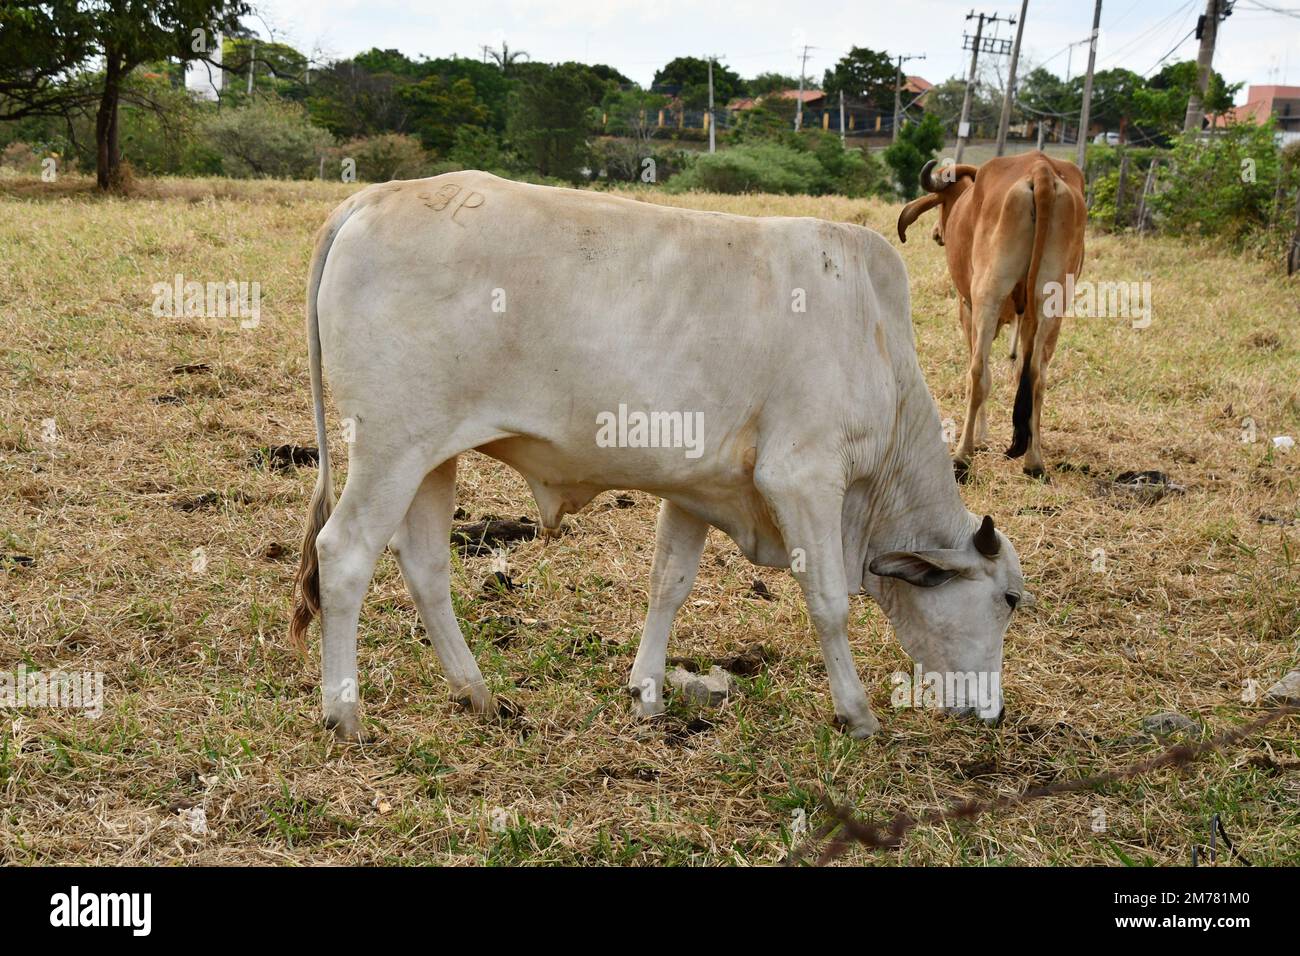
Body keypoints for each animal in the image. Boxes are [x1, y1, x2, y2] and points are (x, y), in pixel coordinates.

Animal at [289, 171, 1027, 741]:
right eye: (1010, 599)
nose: (993, 713)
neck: (877, 341)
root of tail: (373, 197)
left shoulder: (699, 487)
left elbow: (668, 584)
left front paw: (646, 691)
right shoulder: (803, 478)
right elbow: (827, 602)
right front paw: (857, 713)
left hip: (431, 456)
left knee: (425, 565)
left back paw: (475, 692)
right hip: (388, 446)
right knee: (344, 555)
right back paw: (343, 713)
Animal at [896, 151, 1086, 481]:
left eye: (943, 202)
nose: (936, 234)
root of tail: (1042, 170)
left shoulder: (967, 308)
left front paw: (979, 440)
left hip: (989, 294)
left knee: (978, 372)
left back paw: (961, 457)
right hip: (1052, 302)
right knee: (1037, 378)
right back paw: (1034, 460)